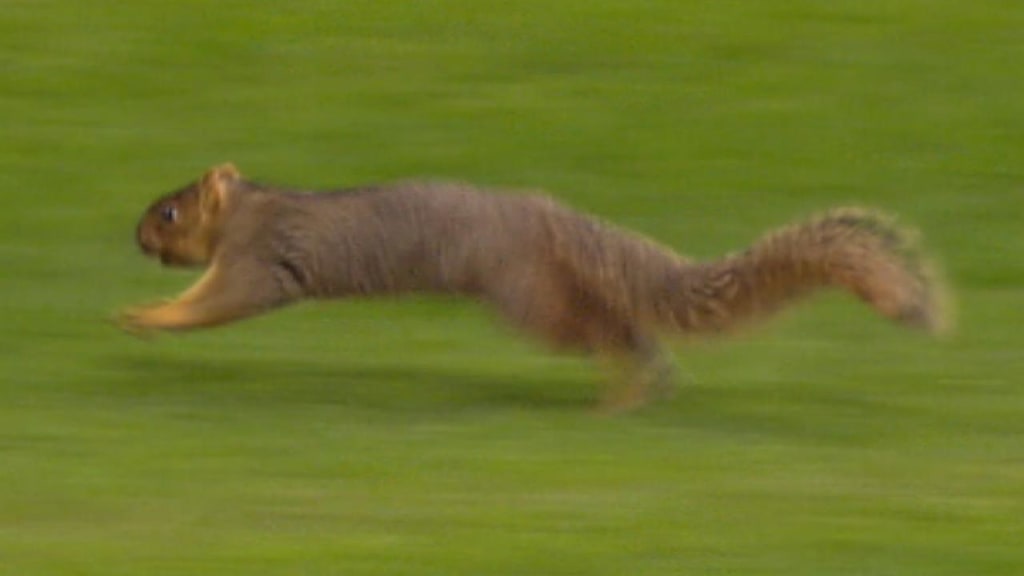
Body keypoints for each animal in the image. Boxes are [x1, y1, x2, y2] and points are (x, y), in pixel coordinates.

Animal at [118, 163, 951, 411]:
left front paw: (143, 316)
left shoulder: (257, 263)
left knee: (606, 331)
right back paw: (646, 384)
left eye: (170, 212)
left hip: (529, 299)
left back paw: (626, 392)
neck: (249, 209)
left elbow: (214, 305)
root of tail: (554, 218)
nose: (136, 235)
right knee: (625, 326)